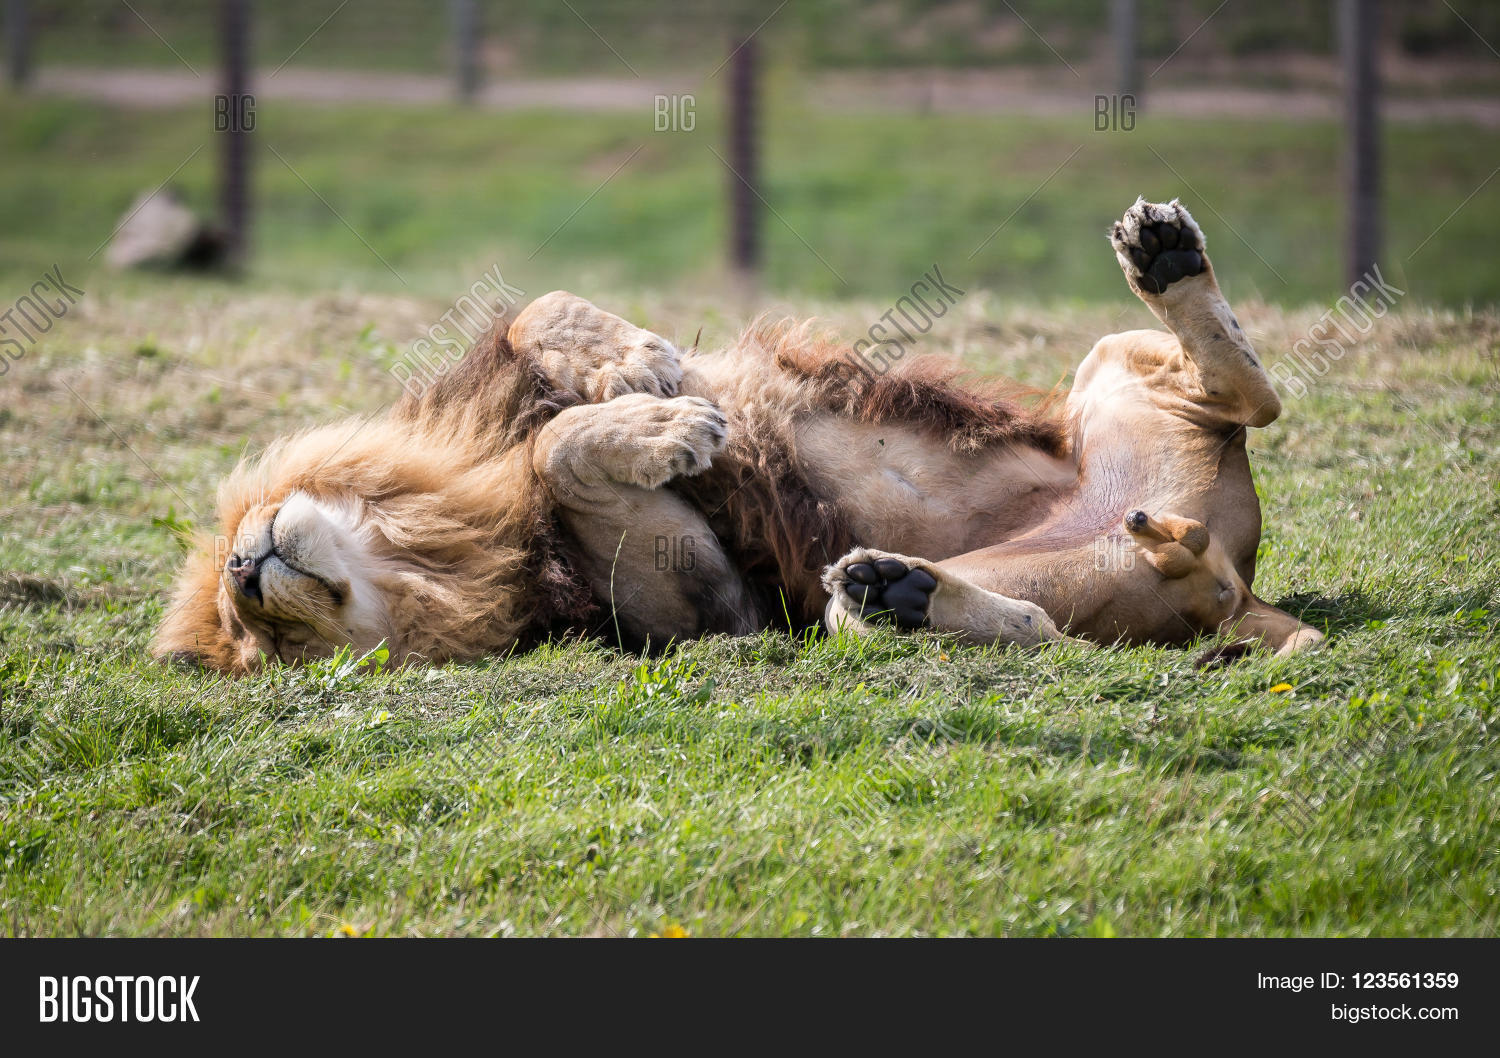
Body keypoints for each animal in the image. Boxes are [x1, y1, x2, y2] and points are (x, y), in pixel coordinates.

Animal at [154, 198, 1322, 673]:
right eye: (263, 646)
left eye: (249, 620)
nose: (250, 575)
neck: (455, 531)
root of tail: (1227, 572)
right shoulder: (719, 608)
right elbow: (556, 453)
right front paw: (663, 422)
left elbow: (542, 313)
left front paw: (640, 372)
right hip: (1050, 563)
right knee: (1044, 632)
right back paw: (896, 595)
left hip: (1110, 370)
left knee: (1248, 399)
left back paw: (1166, 256)